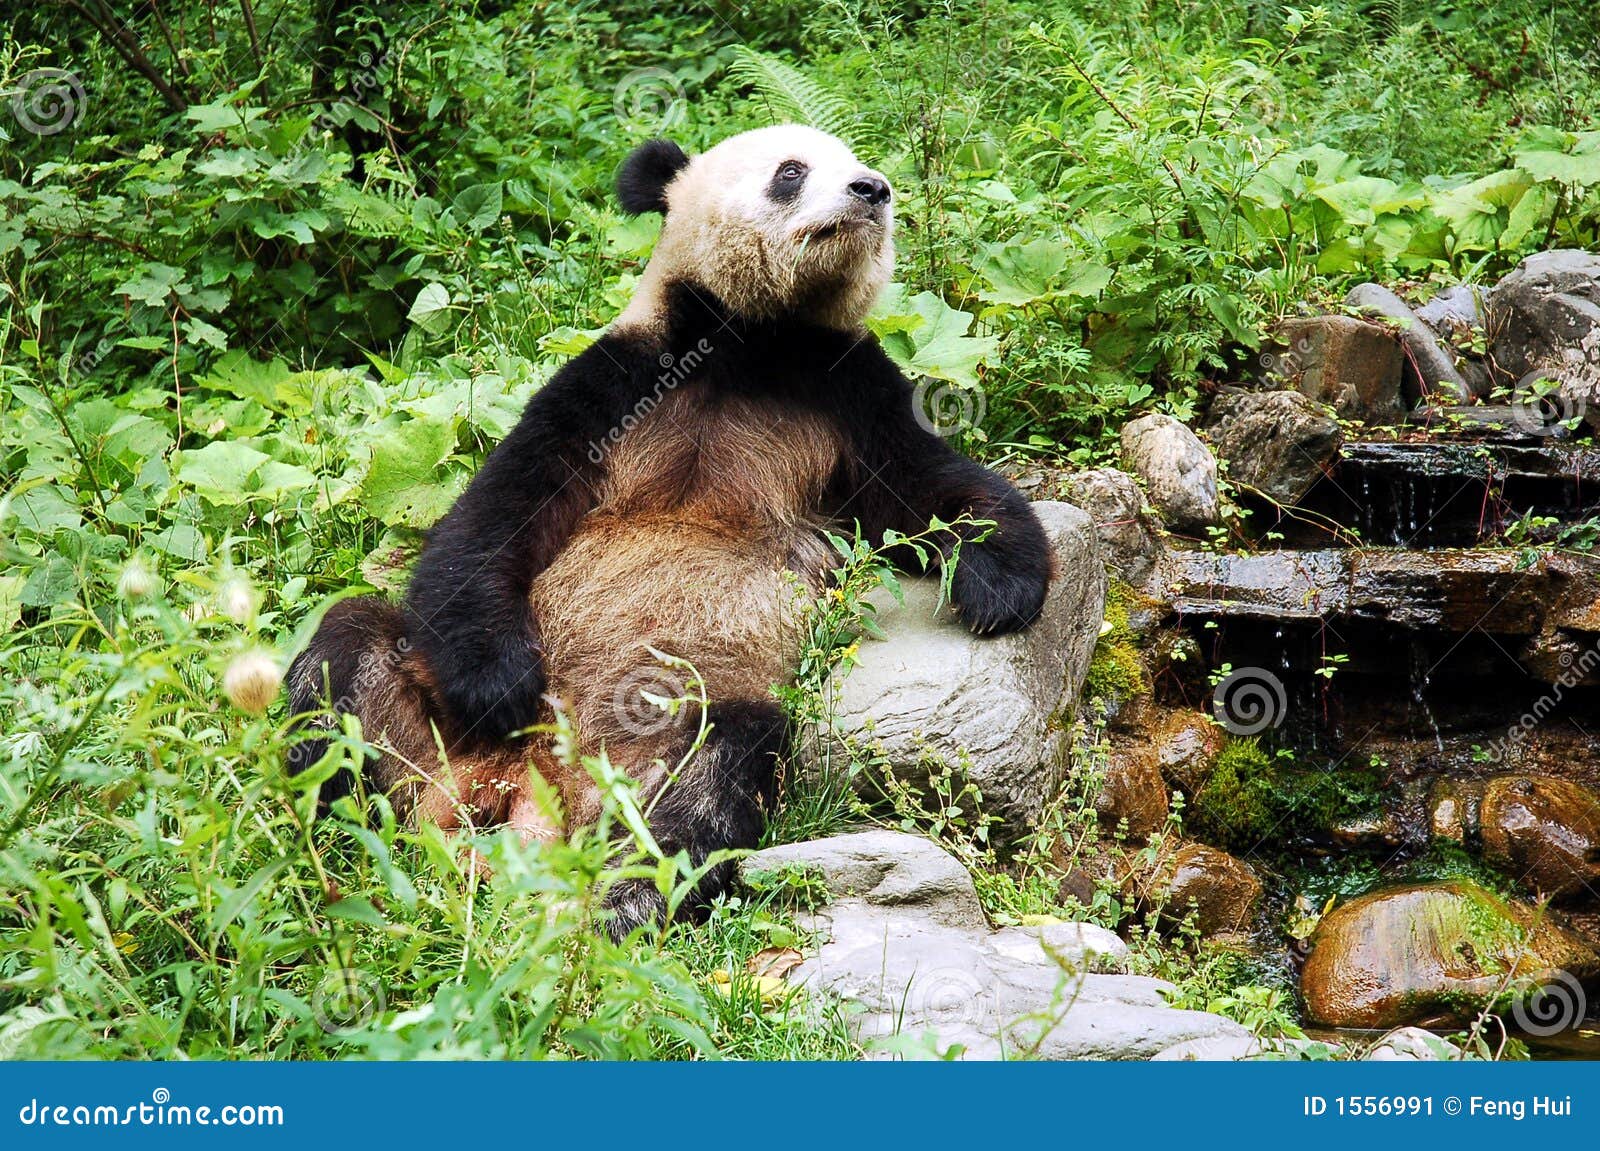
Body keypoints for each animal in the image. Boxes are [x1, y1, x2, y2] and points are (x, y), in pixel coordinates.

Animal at [287, 125, 1052, 937]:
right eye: (792, 171)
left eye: (863, 168)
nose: (872, 190)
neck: (748, 345)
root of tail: (528, 792)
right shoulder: (616, 380)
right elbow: (496, 513)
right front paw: (498, 682)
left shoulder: (844, 390)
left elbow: (928, 483)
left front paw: (1000, 588)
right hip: (425, 718)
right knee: (347, 659)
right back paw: (327, 826)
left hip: (688, 707)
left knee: (705, 777)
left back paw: (631, 897)